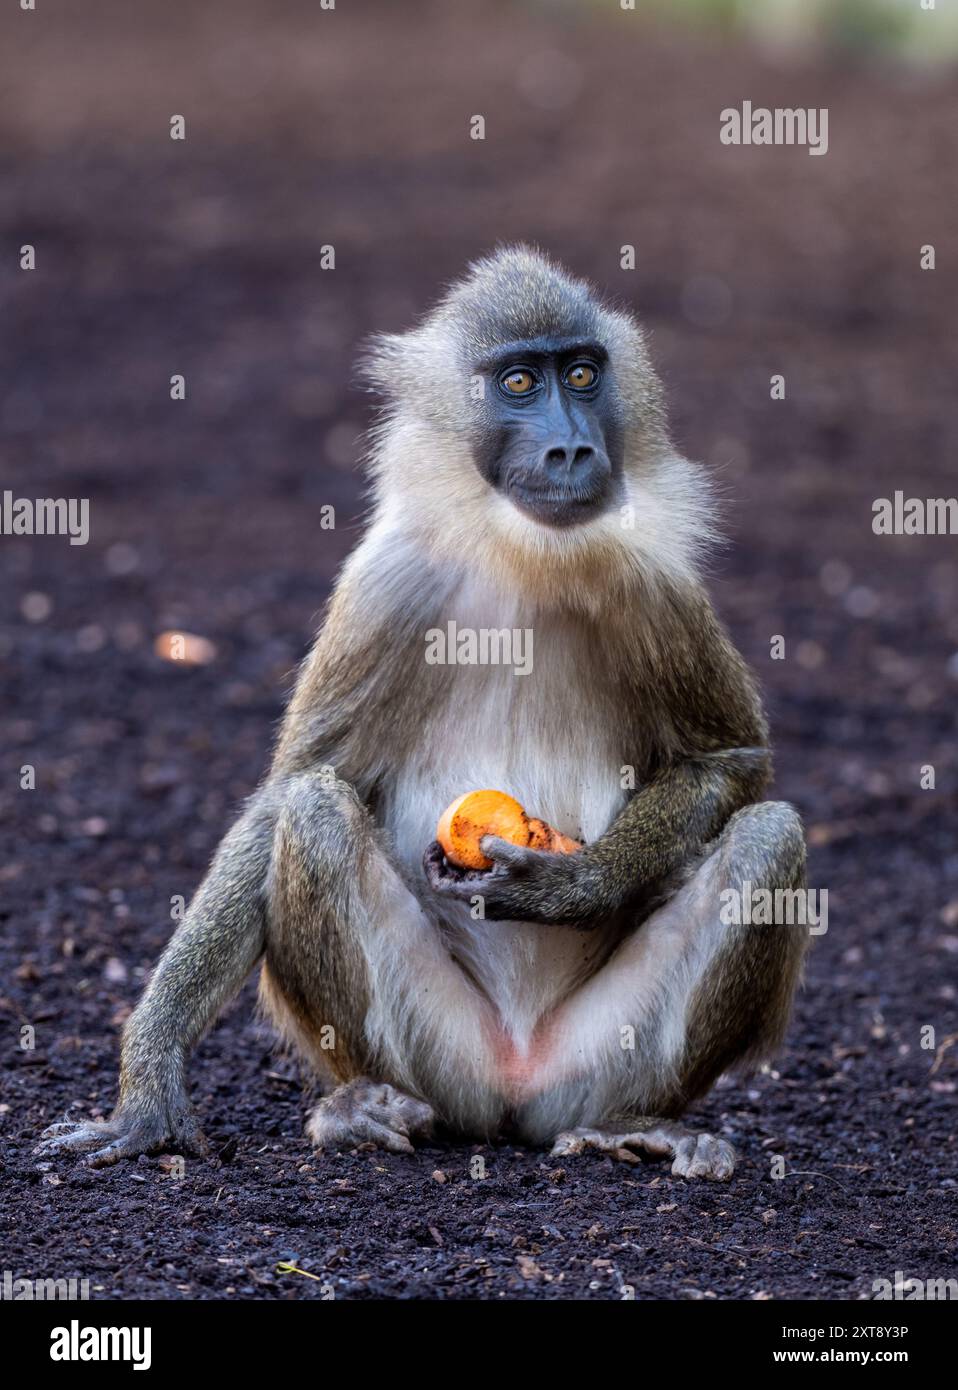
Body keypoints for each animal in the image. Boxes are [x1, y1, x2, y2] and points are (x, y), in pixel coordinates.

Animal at [38, 246, 808, 1181]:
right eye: (519, 381)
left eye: (583, 374)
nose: (572, 447)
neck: (521, 557)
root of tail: (515, 1085)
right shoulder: (387, 585)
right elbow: (292, 789)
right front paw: (147, 1091)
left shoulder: (653, 583)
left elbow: (733, 761)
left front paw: (576, 885)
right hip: (441, 1057)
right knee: (315, 812)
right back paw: (362, 1107)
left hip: (592, 1062)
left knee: (770, 836)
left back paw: (630, 1122)